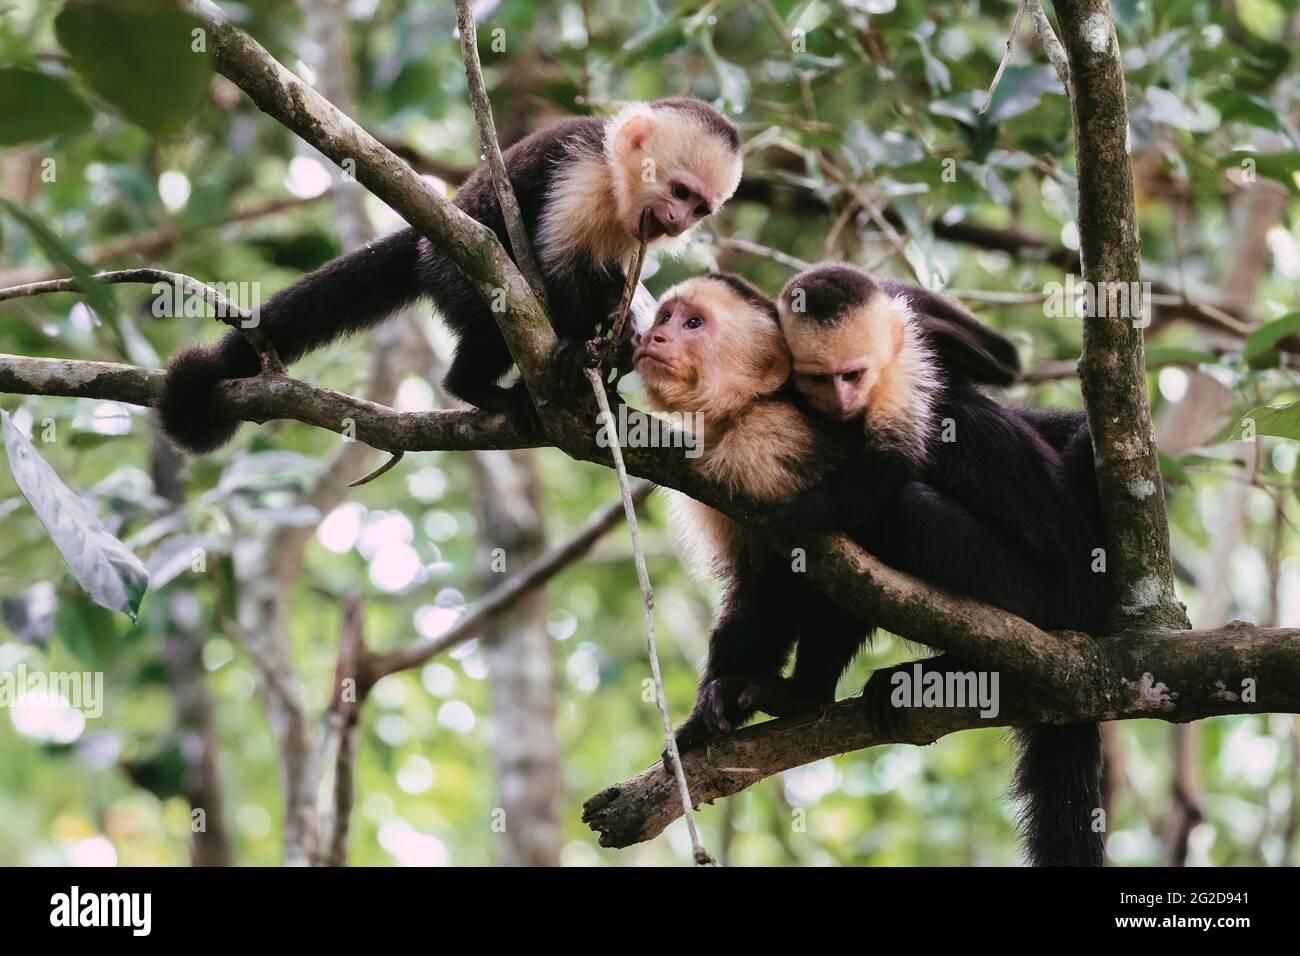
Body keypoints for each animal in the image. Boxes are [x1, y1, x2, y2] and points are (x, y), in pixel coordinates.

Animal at [158, 98, 744, 454]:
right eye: (679, 191)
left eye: (699, 209)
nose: (679, 221)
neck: (615, 180)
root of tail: (424, 243)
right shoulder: (579, 173)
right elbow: (556, 271)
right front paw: (579, 349)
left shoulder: (631, 232)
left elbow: (610, 281)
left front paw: (618, 345)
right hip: (452, 271)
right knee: (496, 310)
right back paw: (475, 386)